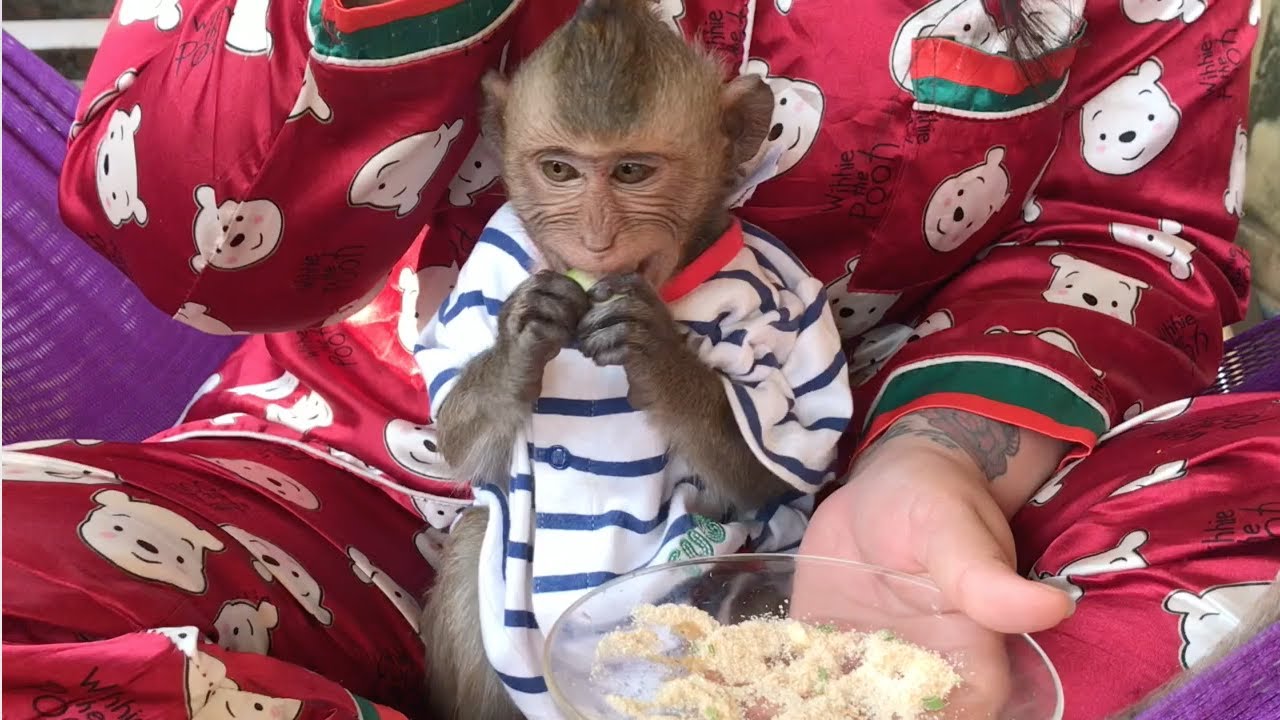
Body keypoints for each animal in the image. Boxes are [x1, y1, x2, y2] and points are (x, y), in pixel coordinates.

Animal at [414, 2, 855, 718]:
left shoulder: (786, 312)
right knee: (478, 537)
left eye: (631, 172)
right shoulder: (490, 257)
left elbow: (772, 474)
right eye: (559, 171)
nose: (597, 239)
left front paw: (657, 353)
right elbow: (455, 430)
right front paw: (522, 336)